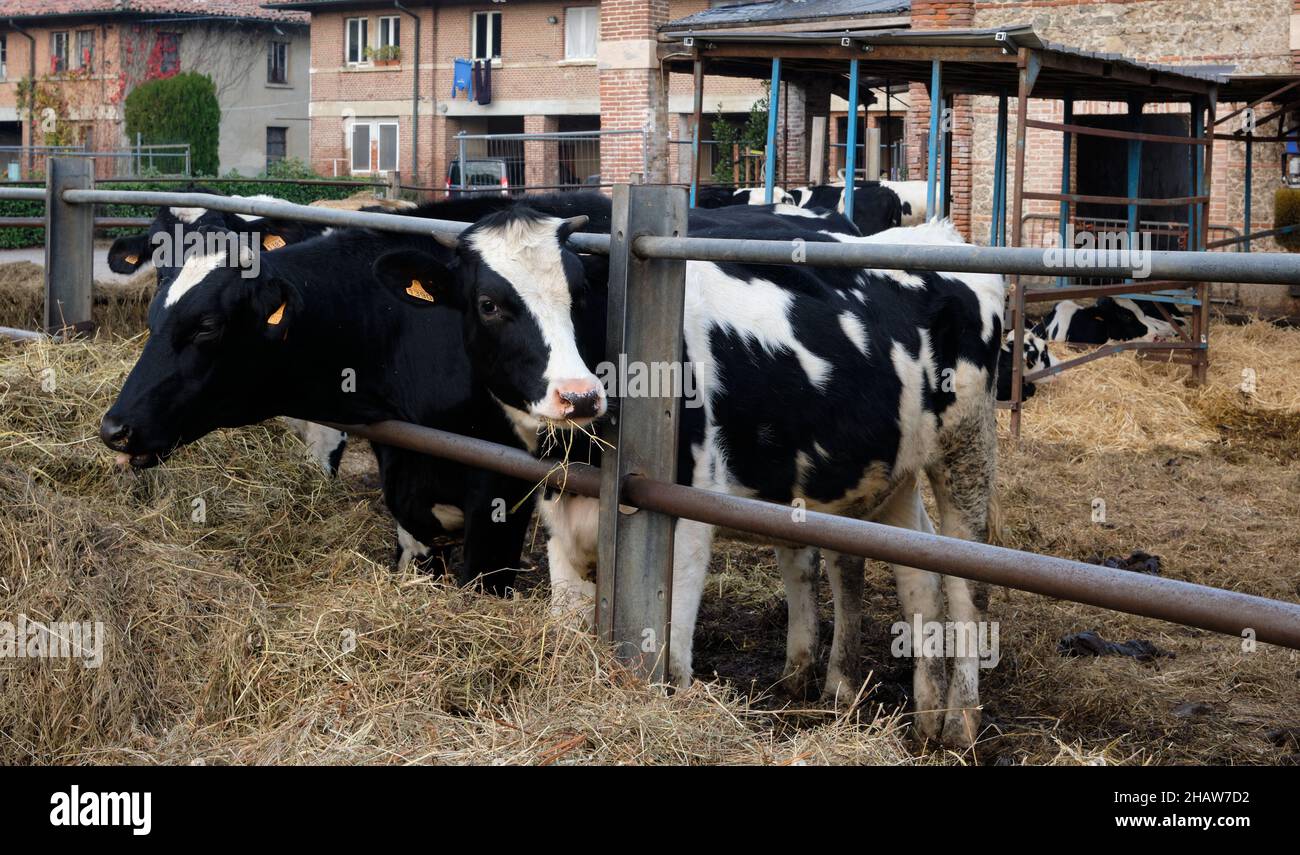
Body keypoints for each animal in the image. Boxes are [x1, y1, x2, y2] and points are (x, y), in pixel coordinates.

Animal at [373, 209, 1004, 748]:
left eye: (581, 293)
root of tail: (940, 235)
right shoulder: (560, 515)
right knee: (910, 570)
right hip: (887, 469)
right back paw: (887, 705)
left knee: (966, 583)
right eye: (488, 304)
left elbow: (672, 654)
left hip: (966, 446)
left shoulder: (687, 511)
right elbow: (568, 620)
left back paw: (958, 726)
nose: (580, 396)